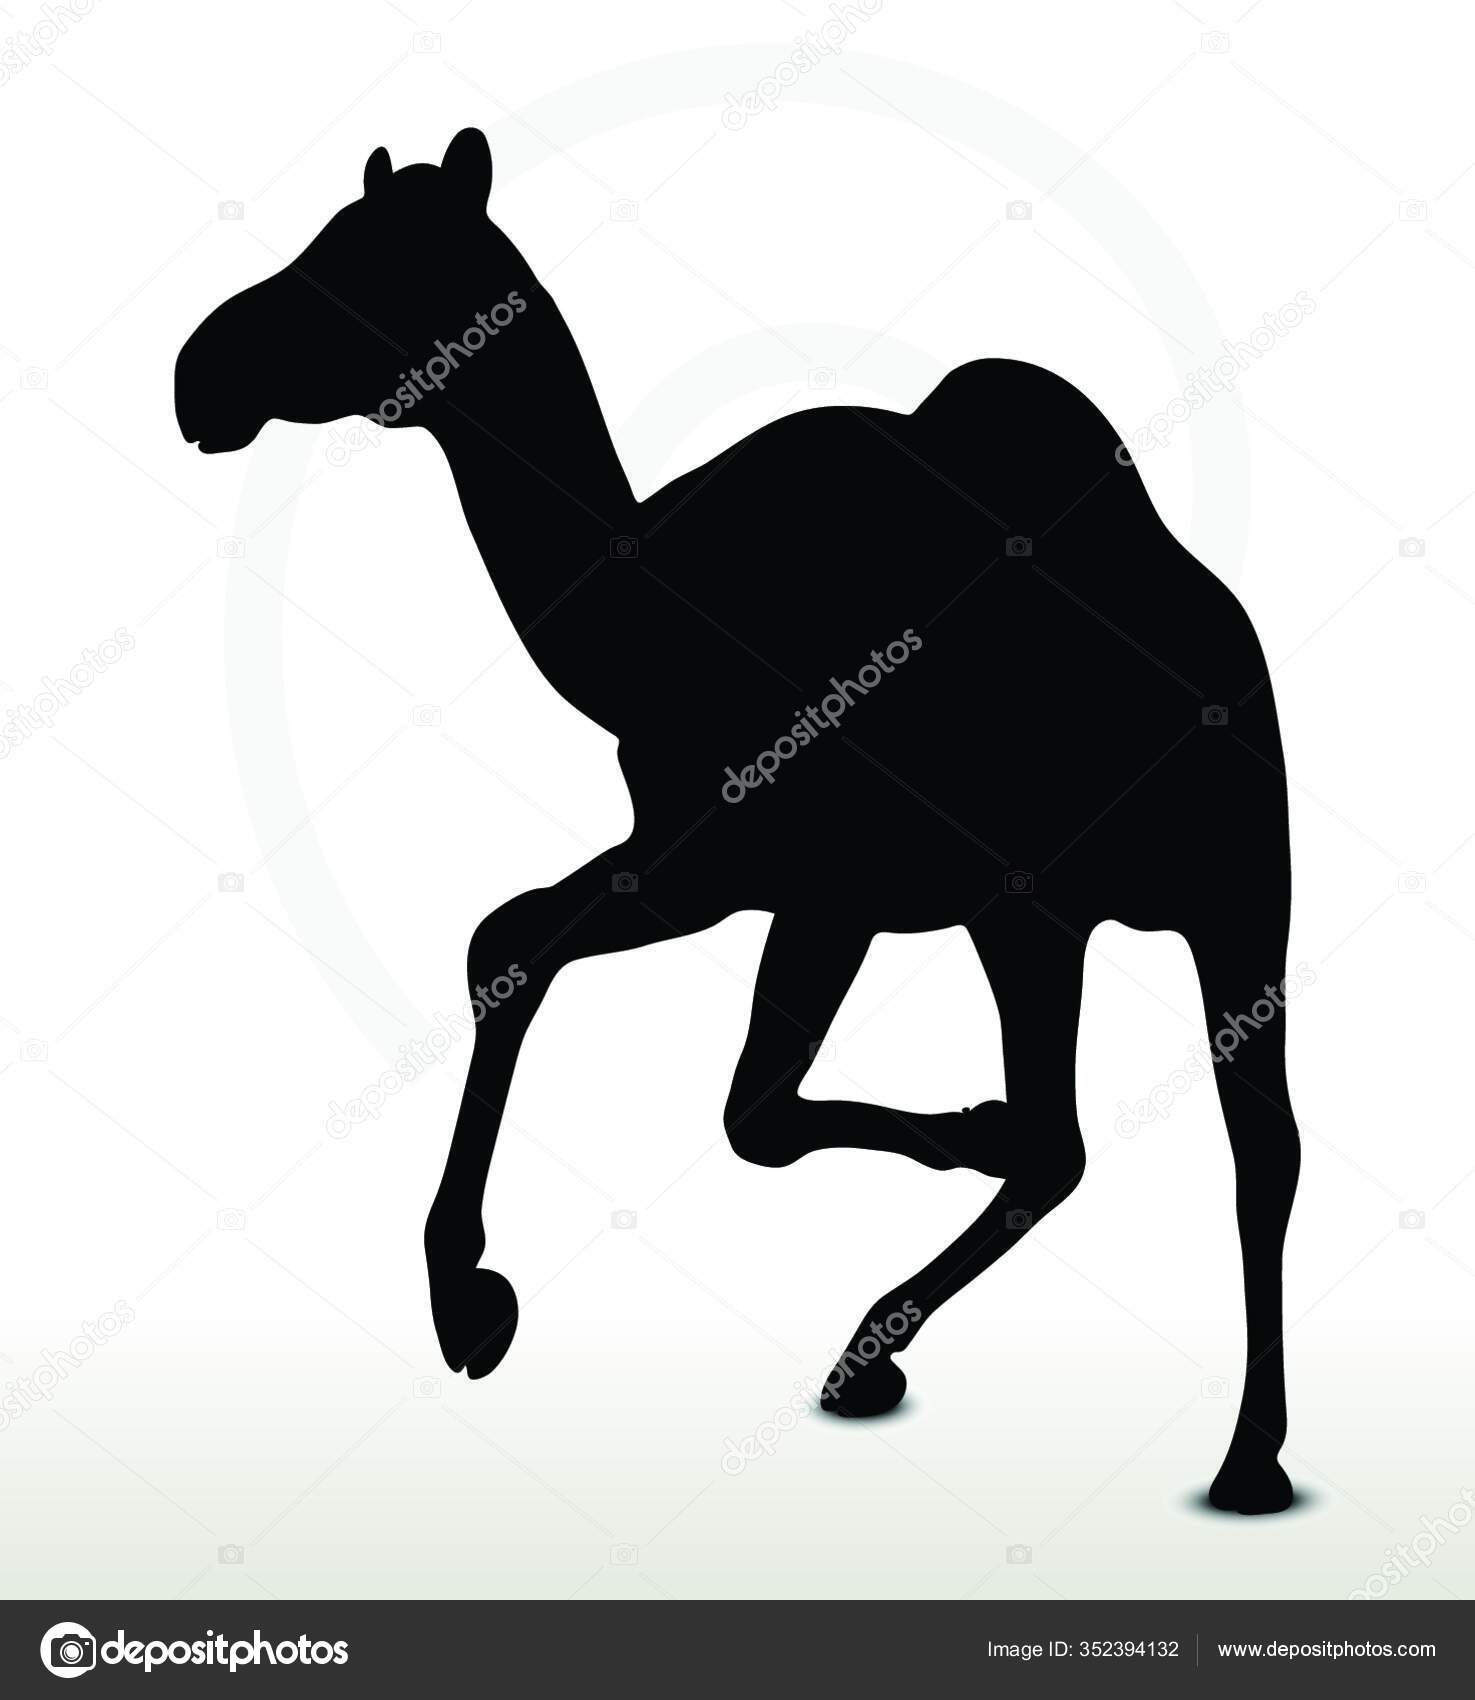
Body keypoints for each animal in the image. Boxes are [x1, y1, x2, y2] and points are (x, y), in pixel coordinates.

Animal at [176, 130, 1302, 1514]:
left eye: (379, 260)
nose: (200, 374)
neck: (652, 623)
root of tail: (1224, 627)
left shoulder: (789, 873)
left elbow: (718, 1088)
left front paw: (466, 1293)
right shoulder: (733, 860)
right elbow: (534, 960)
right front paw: (470, 1299)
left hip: (1218, 890)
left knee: (1245, 1147)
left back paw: (1244, 1453)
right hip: (1032, 913)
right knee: (1066, 1144)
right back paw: (881, 1341)